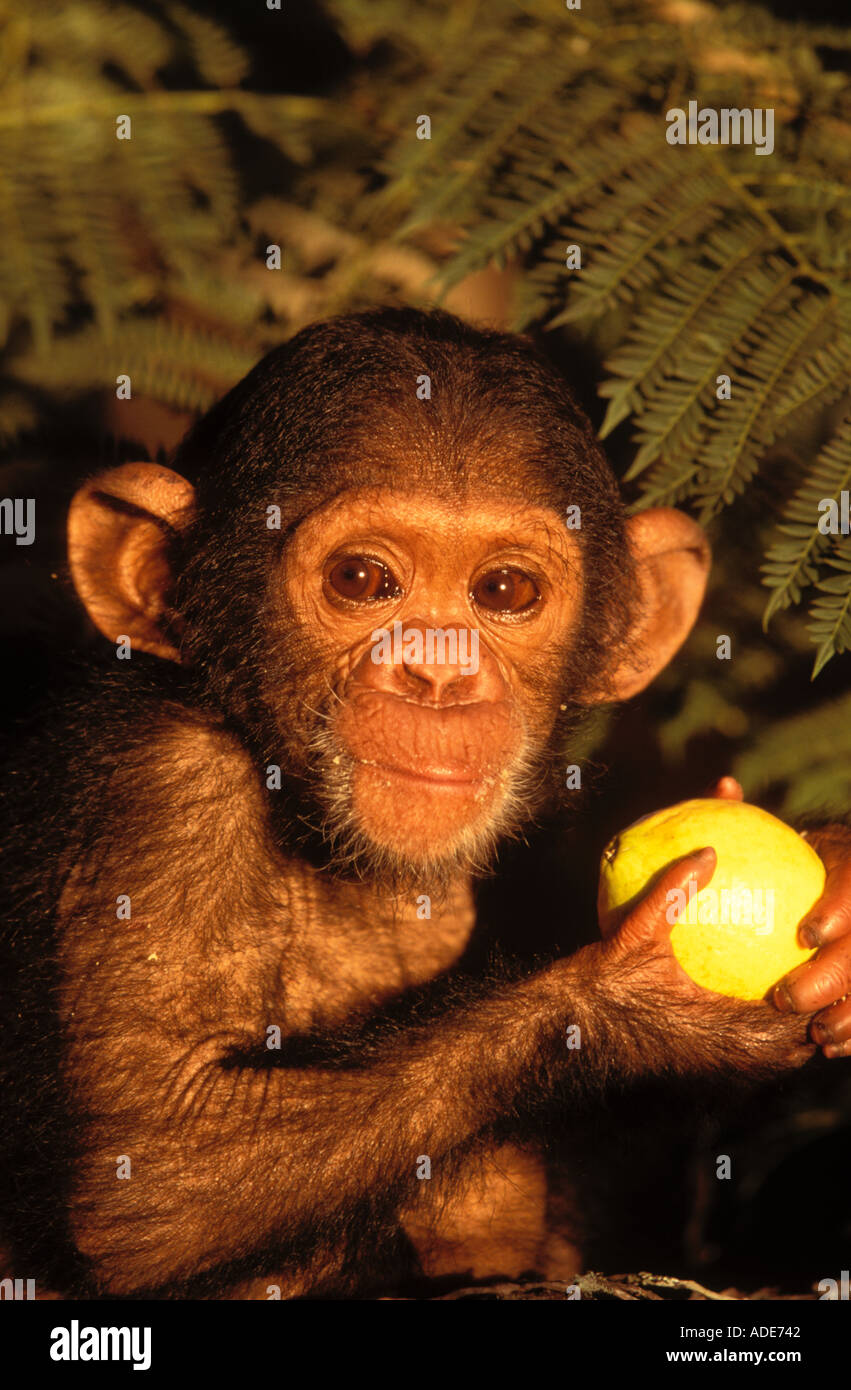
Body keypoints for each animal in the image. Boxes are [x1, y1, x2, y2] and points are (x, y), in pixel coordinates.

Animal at [4, 305, 847, 1302]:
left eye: (504, 590)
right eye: (362, 581)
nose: (438, 676)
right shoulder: (158, 790)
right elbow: (148, 1162)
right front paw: (630, 1007)